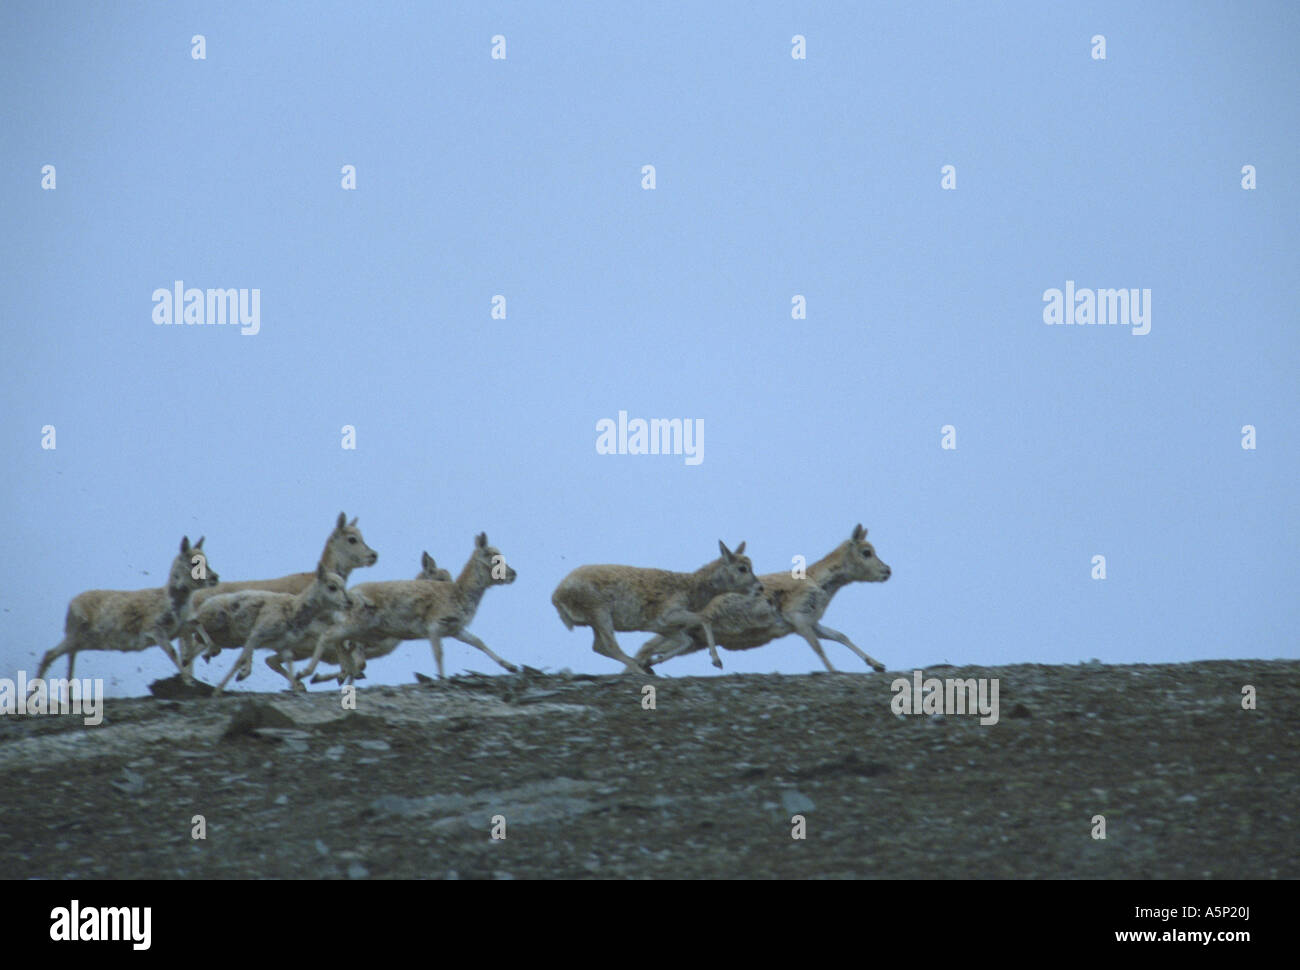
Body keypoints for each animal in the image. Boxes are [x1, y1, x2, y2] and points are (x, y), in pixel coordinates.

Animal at [34, 536, 219, 688]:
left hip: (80, 640)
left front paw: (209, 654)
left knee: (68, 657)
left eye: (206, 559)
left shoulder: (179, 628)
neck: (170, 604)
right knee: (50, 654)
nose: (215, 577)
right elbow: (173, 652)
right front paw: (188, 680)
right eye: (194, 562)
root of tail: (71, 605)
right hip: (74, 636)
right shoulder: (155, 630)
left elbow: (199, 626)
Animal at [209, 563, 354, 695]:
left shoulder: (283, 645)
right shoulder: (258, 635)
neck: (292, 610)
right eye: (332, 587)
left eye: (344, 586)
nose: (349, 602)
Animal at [295, 532, 520, 685]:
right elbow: (438, 653)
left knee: (339, 643)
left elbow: (478, 642)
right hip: (355, 625)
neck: (459, 593)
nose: (513, 574)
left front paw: (511, 666)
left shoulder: (455, 629)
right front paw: (442, 678)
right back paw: (305, 674)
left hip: (357, 630)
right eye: (494, 557)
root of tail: (348, 596)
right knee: (328, 636)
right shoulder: (434, 627)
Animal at [551, 540, 761, 675]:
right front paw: (717, 661)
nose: (760, 588)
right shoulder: (667, 616)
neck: (691, 588)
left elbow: (686, 641)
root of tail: (557, 596)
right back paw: (639, 671)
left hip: (596, 620)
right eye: (743, 568)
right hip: (600, 612)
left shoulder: (662, 627)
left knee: (599, 646)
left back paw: (642, 667)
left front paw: (652, 661)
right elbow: (704, 619)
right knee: (610, 646)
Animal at [635, 524, 890, 672]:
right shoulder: (797, 617)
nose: (887, 571)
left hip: (692, 640)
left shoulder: (812, 622)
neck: (818, 582)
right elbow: (818, 648)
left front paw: (877, 664)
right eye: (867, 552)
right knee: (644, 648)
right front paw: (835, 671)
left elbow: (840, 636)